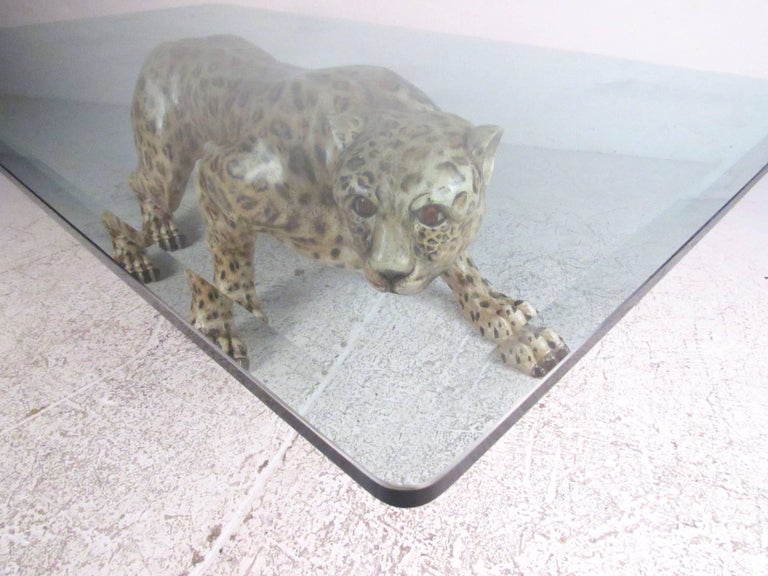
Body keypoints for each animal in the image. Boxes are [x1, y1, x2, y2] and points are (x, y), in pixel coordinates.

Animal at [102, 35, 569, 377]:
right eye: (362, 205)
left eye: (432, 214)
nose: (391, 275)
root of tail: (172, 42)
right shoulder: (219, 177)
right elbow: (224, 273)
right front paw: (218, 326)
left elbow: (463, 269)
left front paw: (510, 322)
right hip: (168, 166)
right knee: (138, 184)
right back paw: (139, 245)